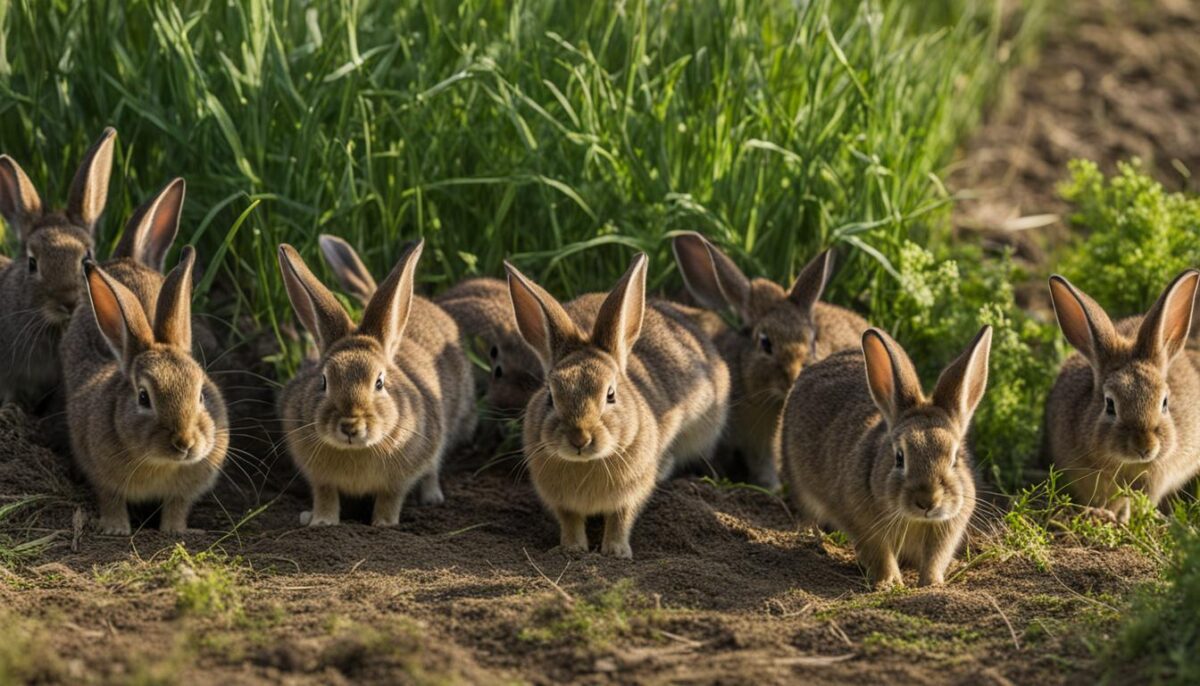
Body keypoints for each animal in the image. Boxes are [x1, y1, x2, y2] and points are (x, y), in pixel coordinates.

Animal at [61, 245, 229, 534]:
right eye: (143, 397)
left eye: (201, 395)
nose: (185, 443)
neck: (159, 462)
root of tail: (125, 262)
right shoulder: (101, 476)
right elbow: (111, 499)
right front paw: (116, 528)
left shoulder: (185, 492)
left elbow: (177, 506)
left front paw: (174, 530)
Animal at [277, 240, 475, 526]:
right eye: (324, 381)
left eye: (379, 383)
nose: (350, 425)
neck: (356, 451)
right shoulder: (319, 478)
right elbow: (326, 495)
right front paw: (322, 522)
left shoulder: (401, 477)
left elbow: (390, 498)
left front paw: (383, 524)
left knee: (432, 469)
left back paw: (432, 498)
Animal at [506, 254, 730, 558]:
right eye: (551, 396)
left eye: (610, 395)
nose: (580, 438)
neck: (587, 463)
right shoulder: (560, 501)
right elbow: (570, 521)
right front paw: (572, 549)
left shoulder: (631, 494)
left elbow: (620, 519)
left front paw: (616, 552)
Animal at [780, 326, 991, 589]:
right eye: (899, 457)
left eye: (955, 458)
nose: (927, 501)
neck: (915, 519)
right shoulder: (864, 525)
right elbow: (880, 553)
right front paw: (889, 583)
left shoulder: (948, 528)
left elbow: (935, 557)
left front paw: (931, 583)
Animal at [1044, 270, 1200, 523]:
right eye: (1110, 404)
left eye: (1164, 403)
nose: (1145, 447)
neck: (1128, 464)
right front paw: (1107, 514)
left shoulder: (1158, 475)